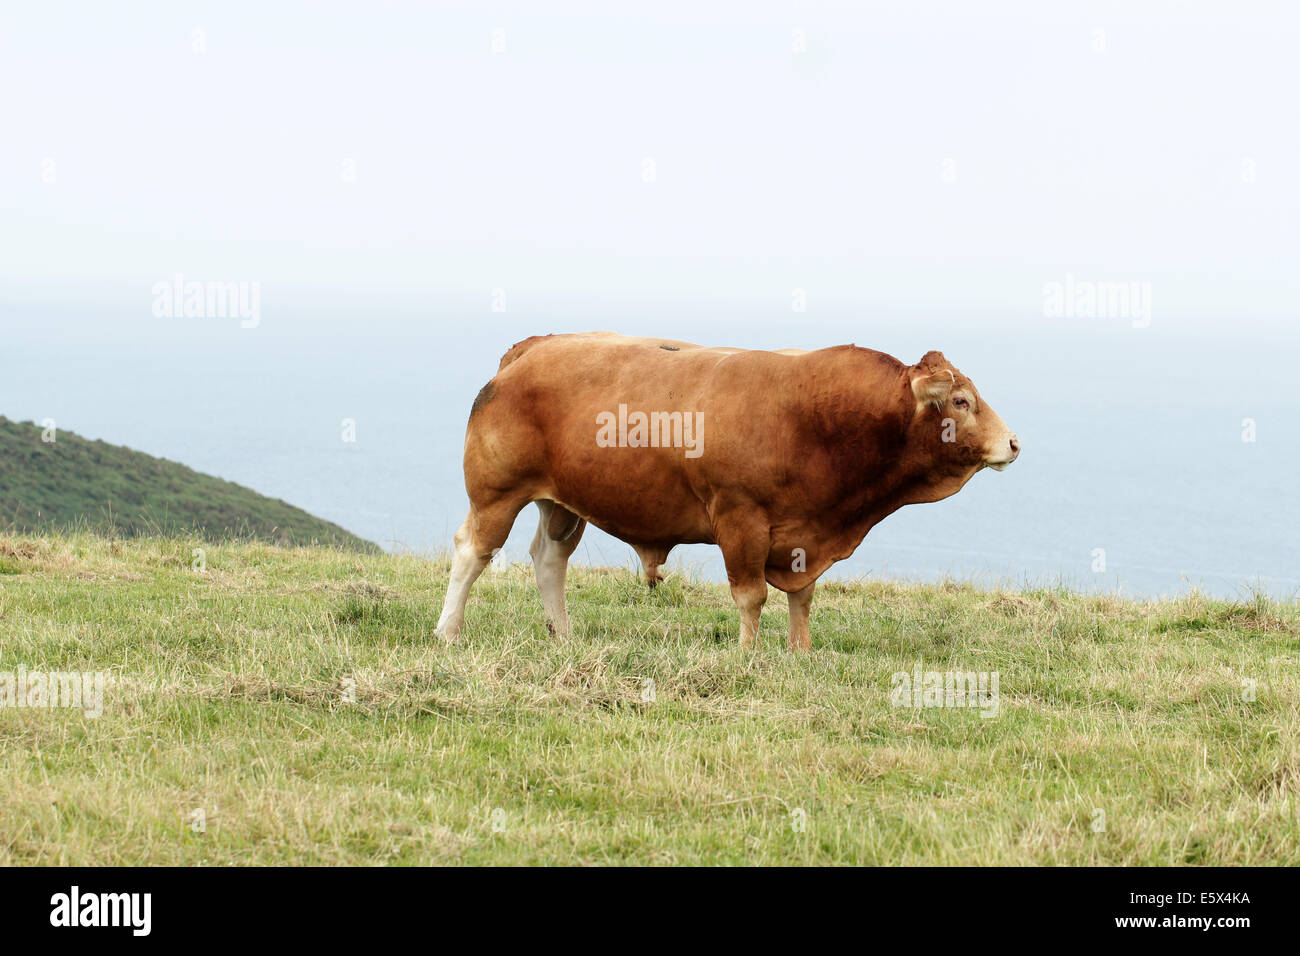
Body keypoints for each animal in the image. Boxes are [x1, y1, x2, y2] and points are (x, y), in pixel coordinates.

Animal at [435, 332, 1019, 650]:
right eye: (961, 401)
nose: (1013, 443)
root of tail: (533, 348)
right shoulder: (741, 519)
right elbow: (751, 594)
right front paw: (747, 654)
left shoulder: (806, 535)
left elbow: (803, 595)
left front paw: (800, 650)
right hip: (496, 492)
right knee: (473, 552)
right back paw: (448, 631)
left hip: (562, 501)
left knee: (549, 558)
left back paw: (563, 633)